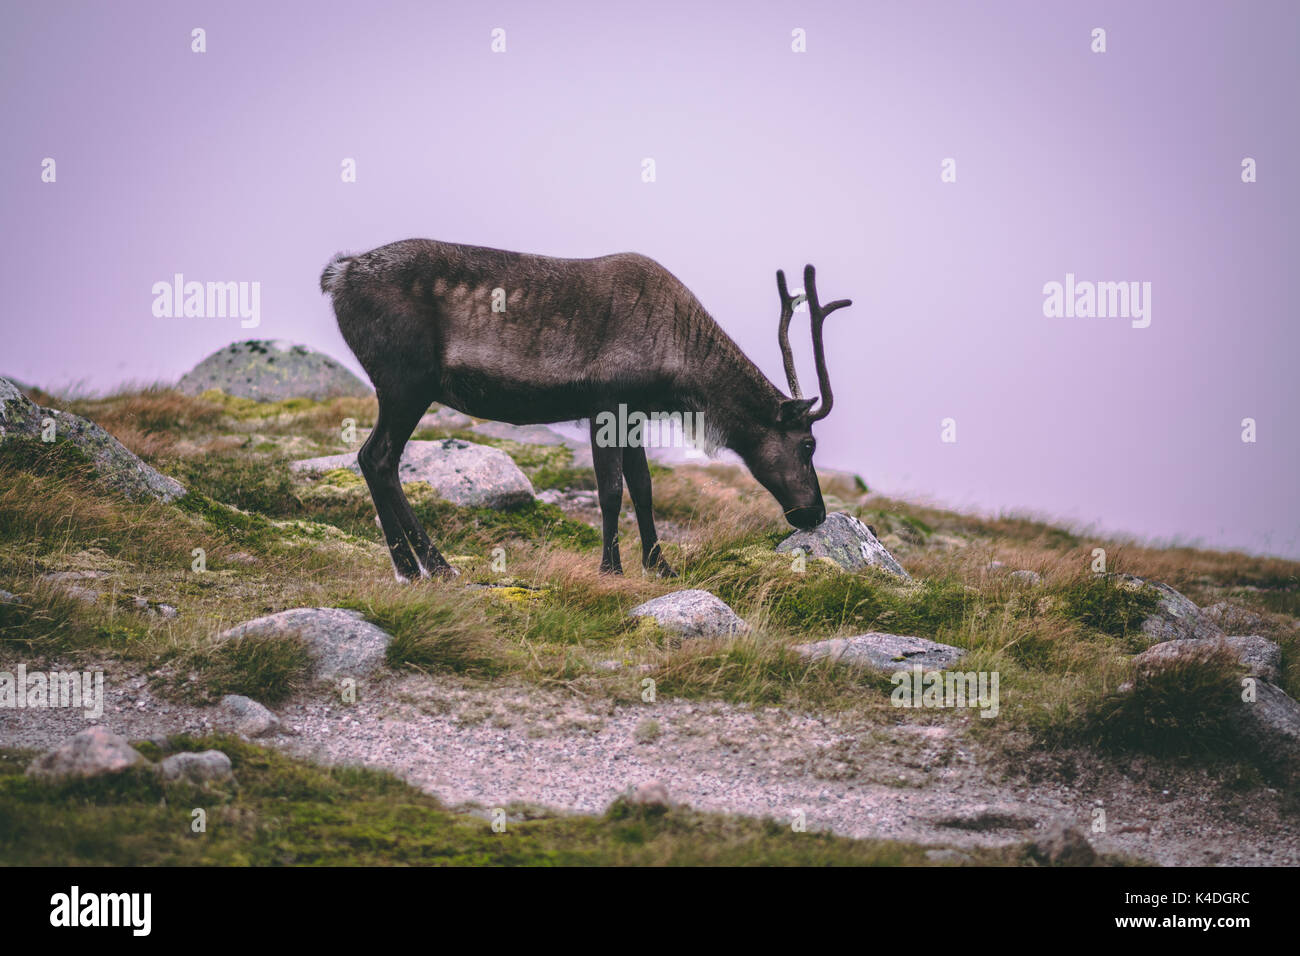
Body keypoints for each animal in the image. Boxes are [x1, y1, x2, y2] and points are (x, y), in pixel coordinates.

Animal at [319, 239, 852, 581]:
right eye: (808, 443)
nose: (814, 513)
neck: (679, 369)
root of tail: (339, 273)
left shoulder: (634, 413)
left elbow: (644, 488)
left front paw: (660, 566)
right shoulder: (605, 403)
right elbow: (611, 490)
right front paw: (611, 568)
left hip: (404, 387)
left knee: (374, 459)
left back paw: (415, 567)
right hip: (405, 381)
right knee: (377, 457)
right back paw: (430, 566)